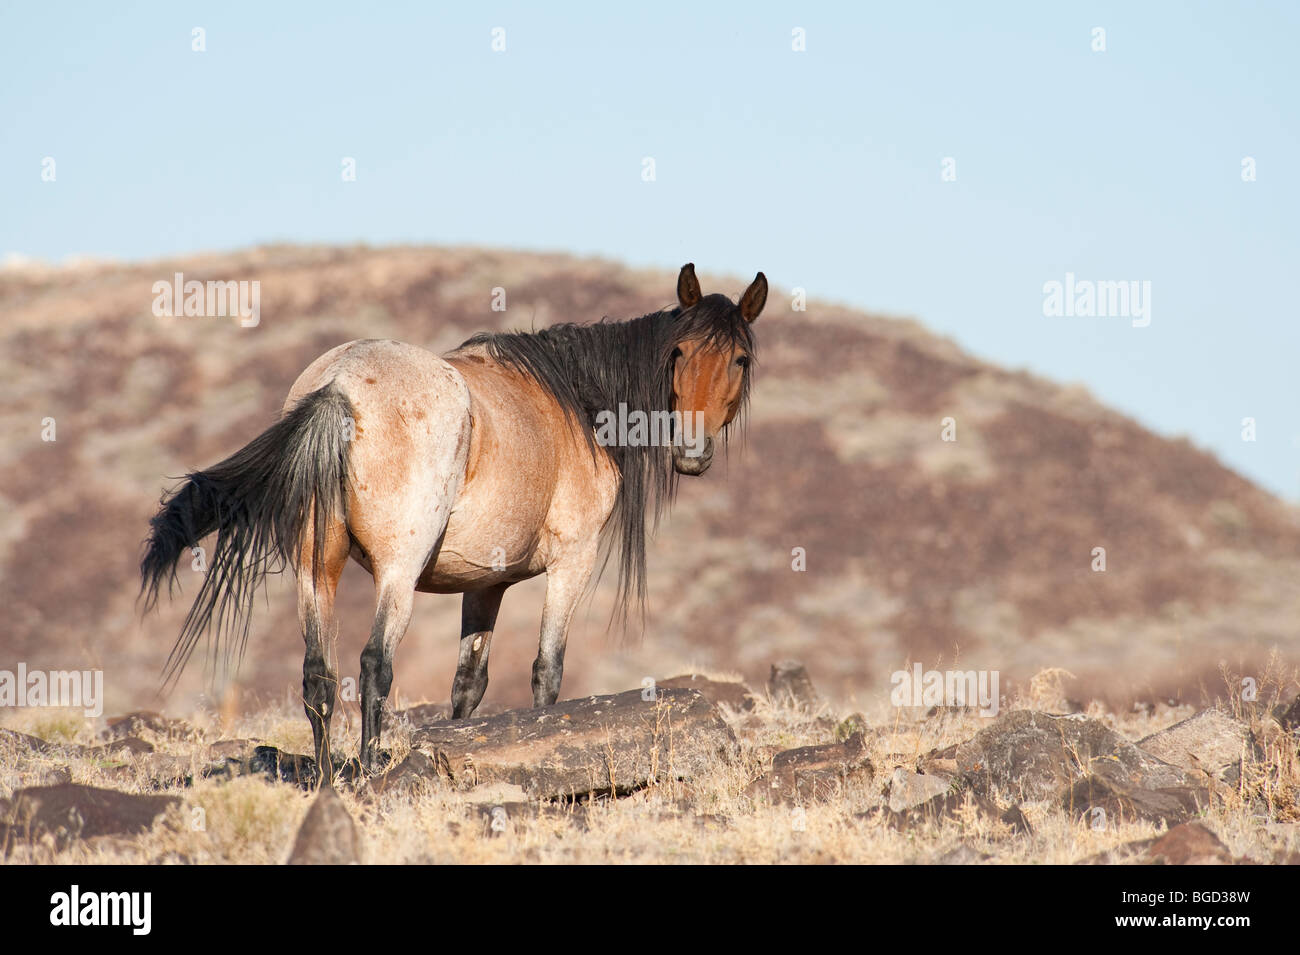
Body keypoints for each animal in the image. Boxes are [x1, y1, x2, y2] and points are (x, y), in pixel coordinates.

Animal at [140, 263, 766, 782]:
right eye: (678, 352)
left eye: (739, 360)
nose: (691, 453)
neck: (577, 402)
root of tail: (339, 386)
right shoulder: (572, 561)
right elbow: (546, 669)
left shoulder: (486, 582)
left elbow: (468, 684)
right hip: (397, 570)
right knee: (374, 665)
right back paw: (369, 771)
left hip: (317, 569)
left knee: (319, 676)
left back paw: (325, 781)